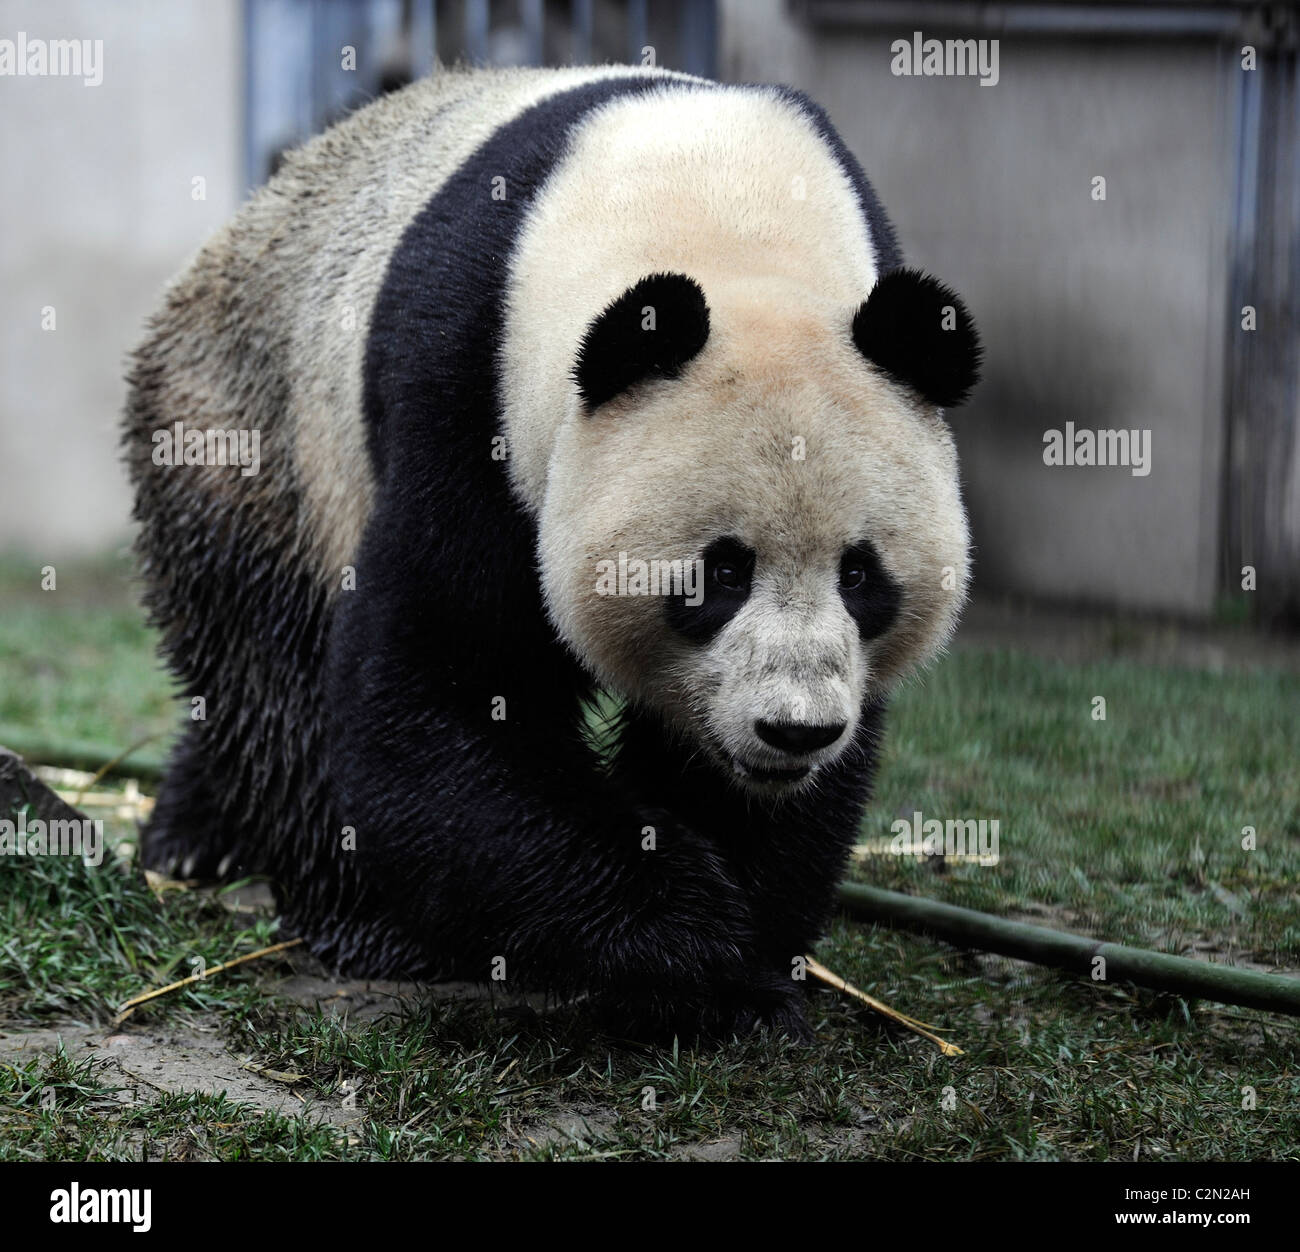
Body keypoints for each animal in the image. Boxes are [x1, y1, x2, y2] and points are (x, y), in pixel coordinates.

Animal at [122, 64, 979, 1041]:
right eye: (719, 574)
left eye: (860, 574)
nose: (792, 731)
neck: (720, 215)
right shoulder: (466, 383)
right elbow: (443, 681)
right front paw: (694, 943)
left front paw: (750, 957)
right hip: (253, 428)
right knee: (272, 663)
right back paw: (358, 917)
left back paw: (191, 834)